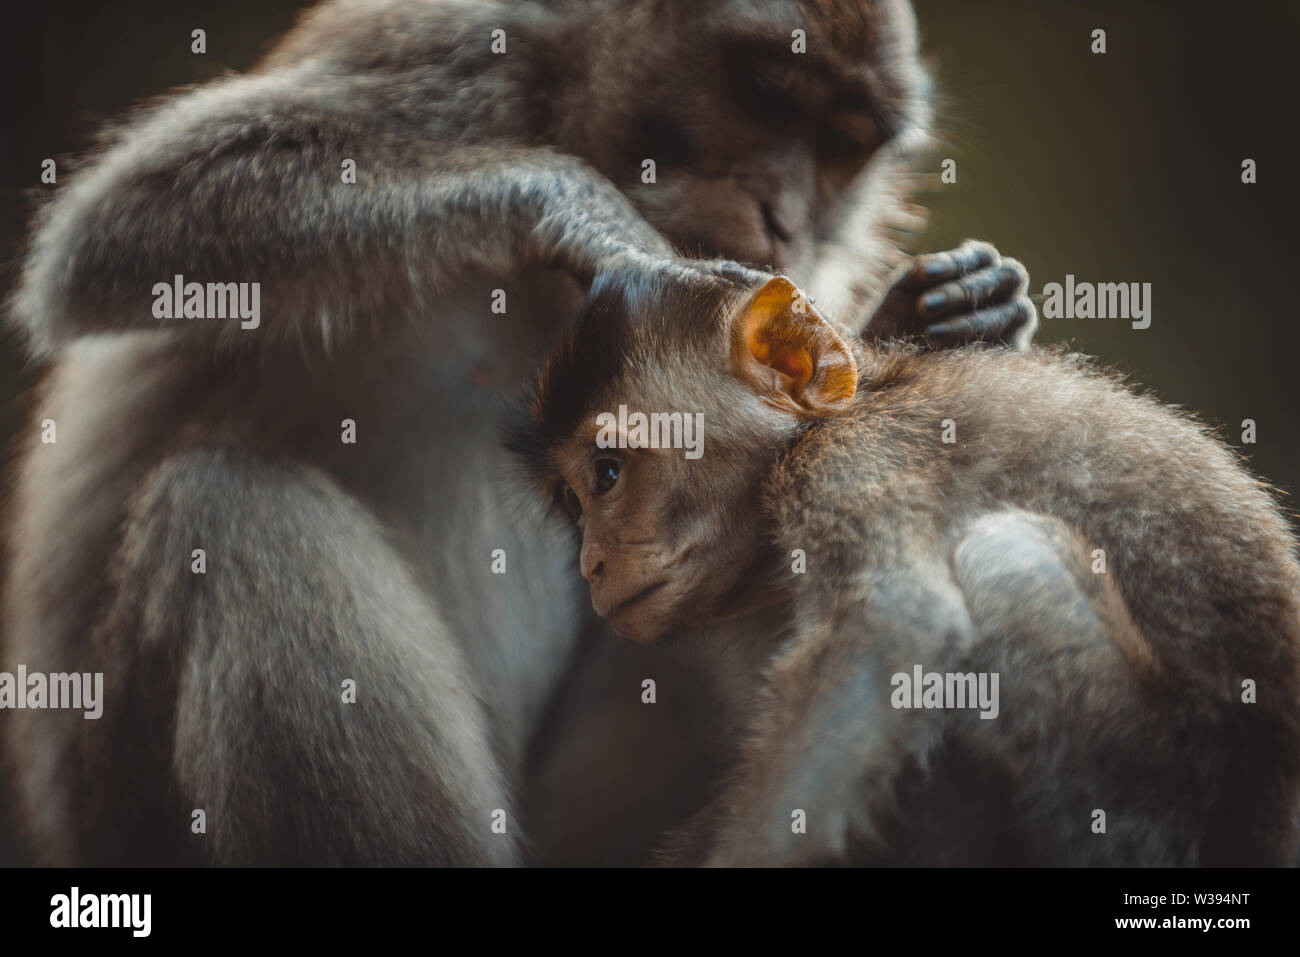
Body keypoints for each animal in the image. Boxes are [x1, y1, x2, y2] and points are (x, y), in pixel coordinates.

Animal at [3, 0, 1035, 864]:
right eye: (765, 93)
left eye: (841, 145)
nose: (784, 218)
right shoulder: (462, 46)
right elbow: (125, 224)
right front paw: (578, 211)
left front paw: (940, 315)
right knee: (226, 508)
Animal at [509, 267, 1300, 866]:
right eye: (573, 502)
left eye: (609, 474)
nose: (593, 561)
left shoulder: (848, 463)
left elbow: (887, 630)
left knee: (1007, 563)